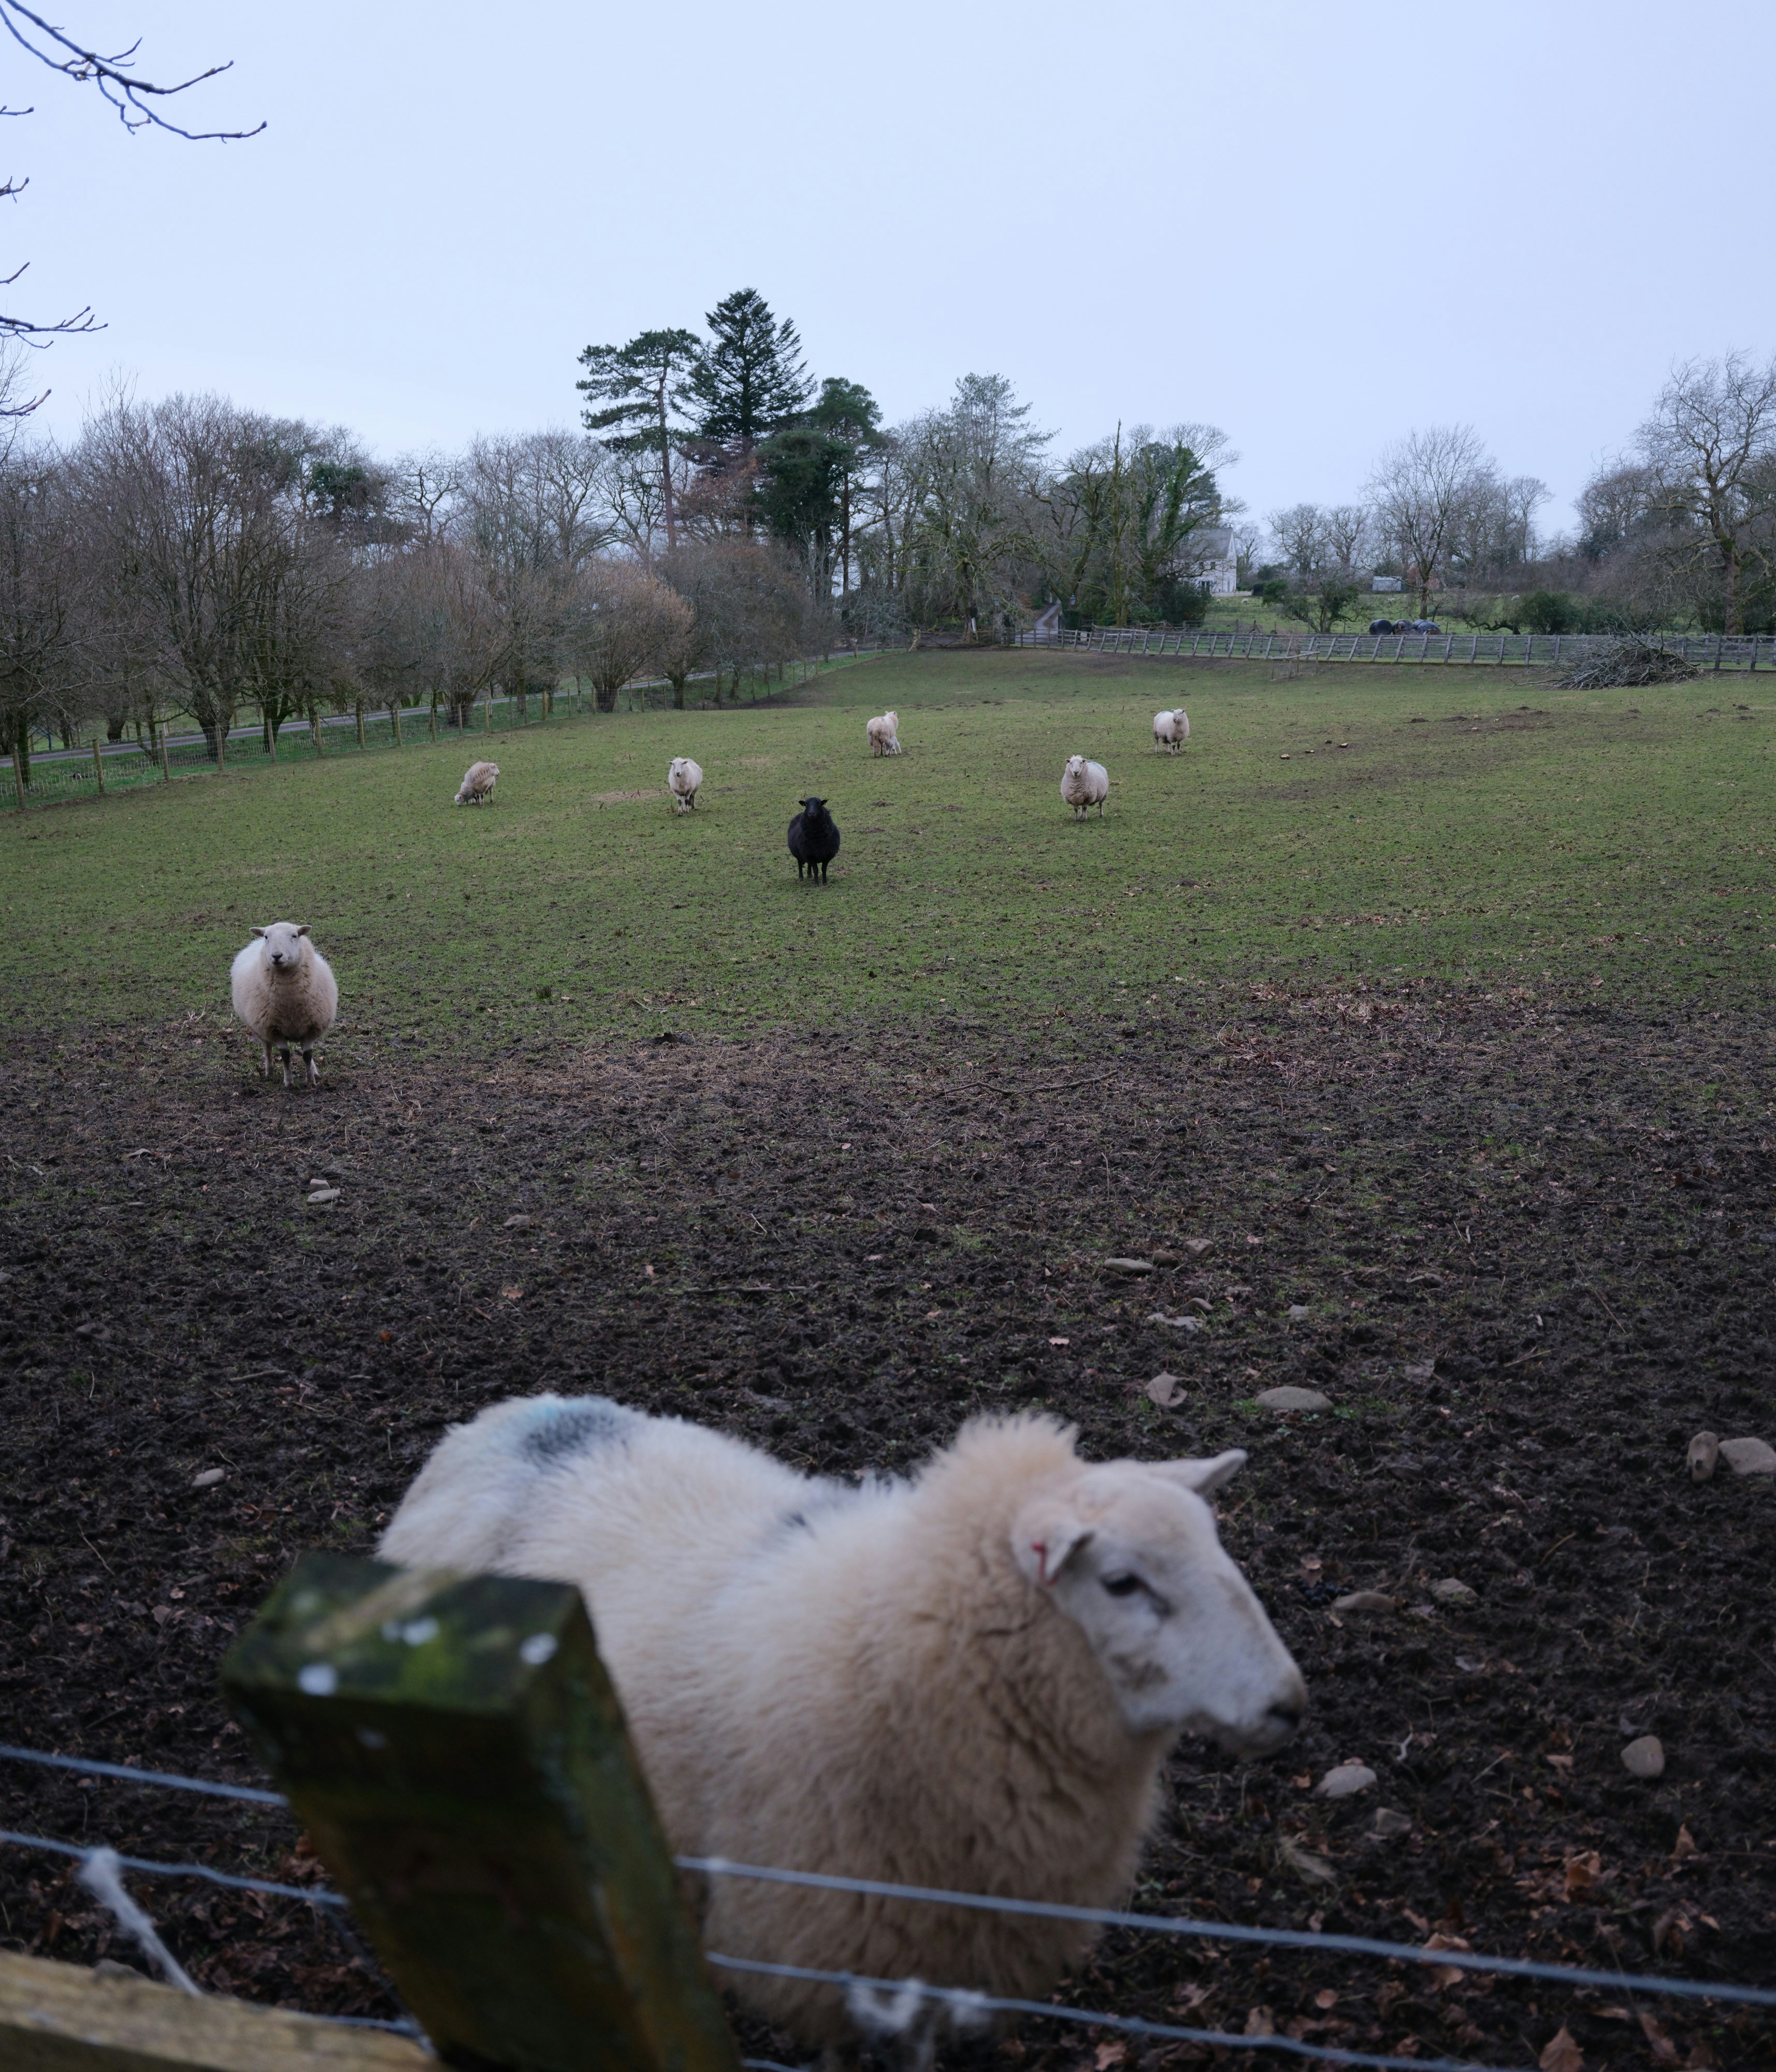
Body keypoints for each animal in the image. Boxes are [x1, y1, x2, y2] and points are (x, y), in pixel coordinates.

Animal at [229, 923, 338, 1089]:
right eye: (266, 937)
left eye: (294, 936)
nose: (276, 956)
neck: (289, 1003)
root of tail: (254, 943)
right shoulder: (273, 1029)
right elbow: (285, 1055)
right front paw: (289, 1082)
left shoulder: (312, 1027)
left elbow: (307, 1055)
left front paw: (311, 1081)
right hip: (261, 1029)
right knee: (267, 1047)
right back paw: (269, 1071)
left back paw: (314, 1070)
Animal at [788, 795, 841, 882]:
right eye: (806, 805)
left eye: (819, 804)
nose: (811, 813)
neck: (818, 839)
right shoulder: (809, 854)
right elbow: (816, 870)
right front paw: (816, 883)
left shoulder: (827, 855)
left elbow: (824, 869)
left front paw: (825, 882)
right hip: (799, 853)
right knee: (800, 863)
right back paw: (801, 877)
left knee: (809, 865)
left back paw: (809, 875)